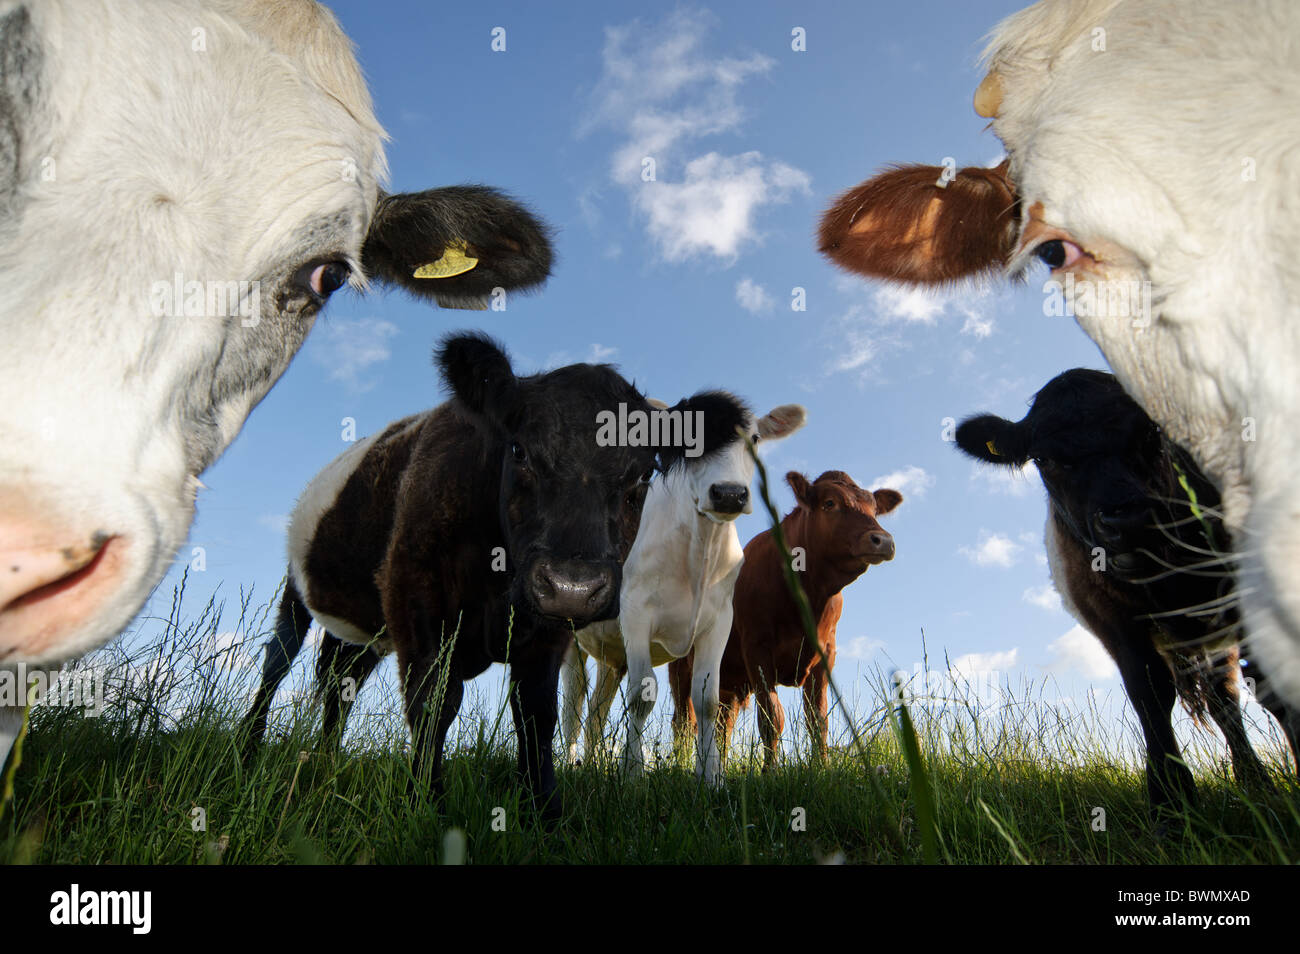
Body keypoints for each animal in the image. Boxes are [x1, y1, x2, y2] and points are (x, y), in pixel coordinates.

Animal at [238, 332, 761, 819]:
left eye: (643, 474)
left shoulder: (549, 629)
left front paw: (545, 810)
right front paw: (425, 803)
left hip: (362, 629)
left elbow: (537, 713)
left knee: (338, 683)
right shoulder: (417, 600)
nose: (572, 586)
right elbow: (435, 703)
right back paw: (248, 748)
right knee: (278, 661)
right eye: (520, 450)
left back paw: (326, 759)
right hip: (296, 591)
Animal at [560, 400, 807, 783]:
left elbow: (706, 700)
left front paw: (711, 778)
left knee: (596, 713)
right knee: (573, 705)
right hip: (571, 635)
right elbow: (642, 696)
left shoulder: (720, 621)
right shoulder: (636, 611)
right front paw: (633, 775)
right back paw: (568, 765)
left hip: (611, 653)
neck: (699, 549)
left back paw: (592, 767)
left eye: (754, 439)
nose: (729, 493)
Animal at [669, 471, 900, 770]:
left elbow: (817, 719)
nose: (882, 540)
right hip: (681, 667)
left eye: (874, 509)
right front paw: (770, 771)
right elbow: (771, 718)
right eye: (829, 503)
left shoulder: (825, 655)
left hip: (726, 679)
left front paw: (822, 768)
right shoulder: (757, 650)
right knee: (684, 722)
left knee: (721, 725)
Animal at [955, 368, 1299, 819]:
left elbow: (1271, 682)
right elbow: (1149, 694)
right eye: (1043, 459)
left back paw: (1256, 780)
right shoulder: (1109, 618)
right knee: (1220, 698)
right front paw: (1170, 804)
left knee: (1224, 695)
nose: (1128, 520)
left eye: (1153, 431)